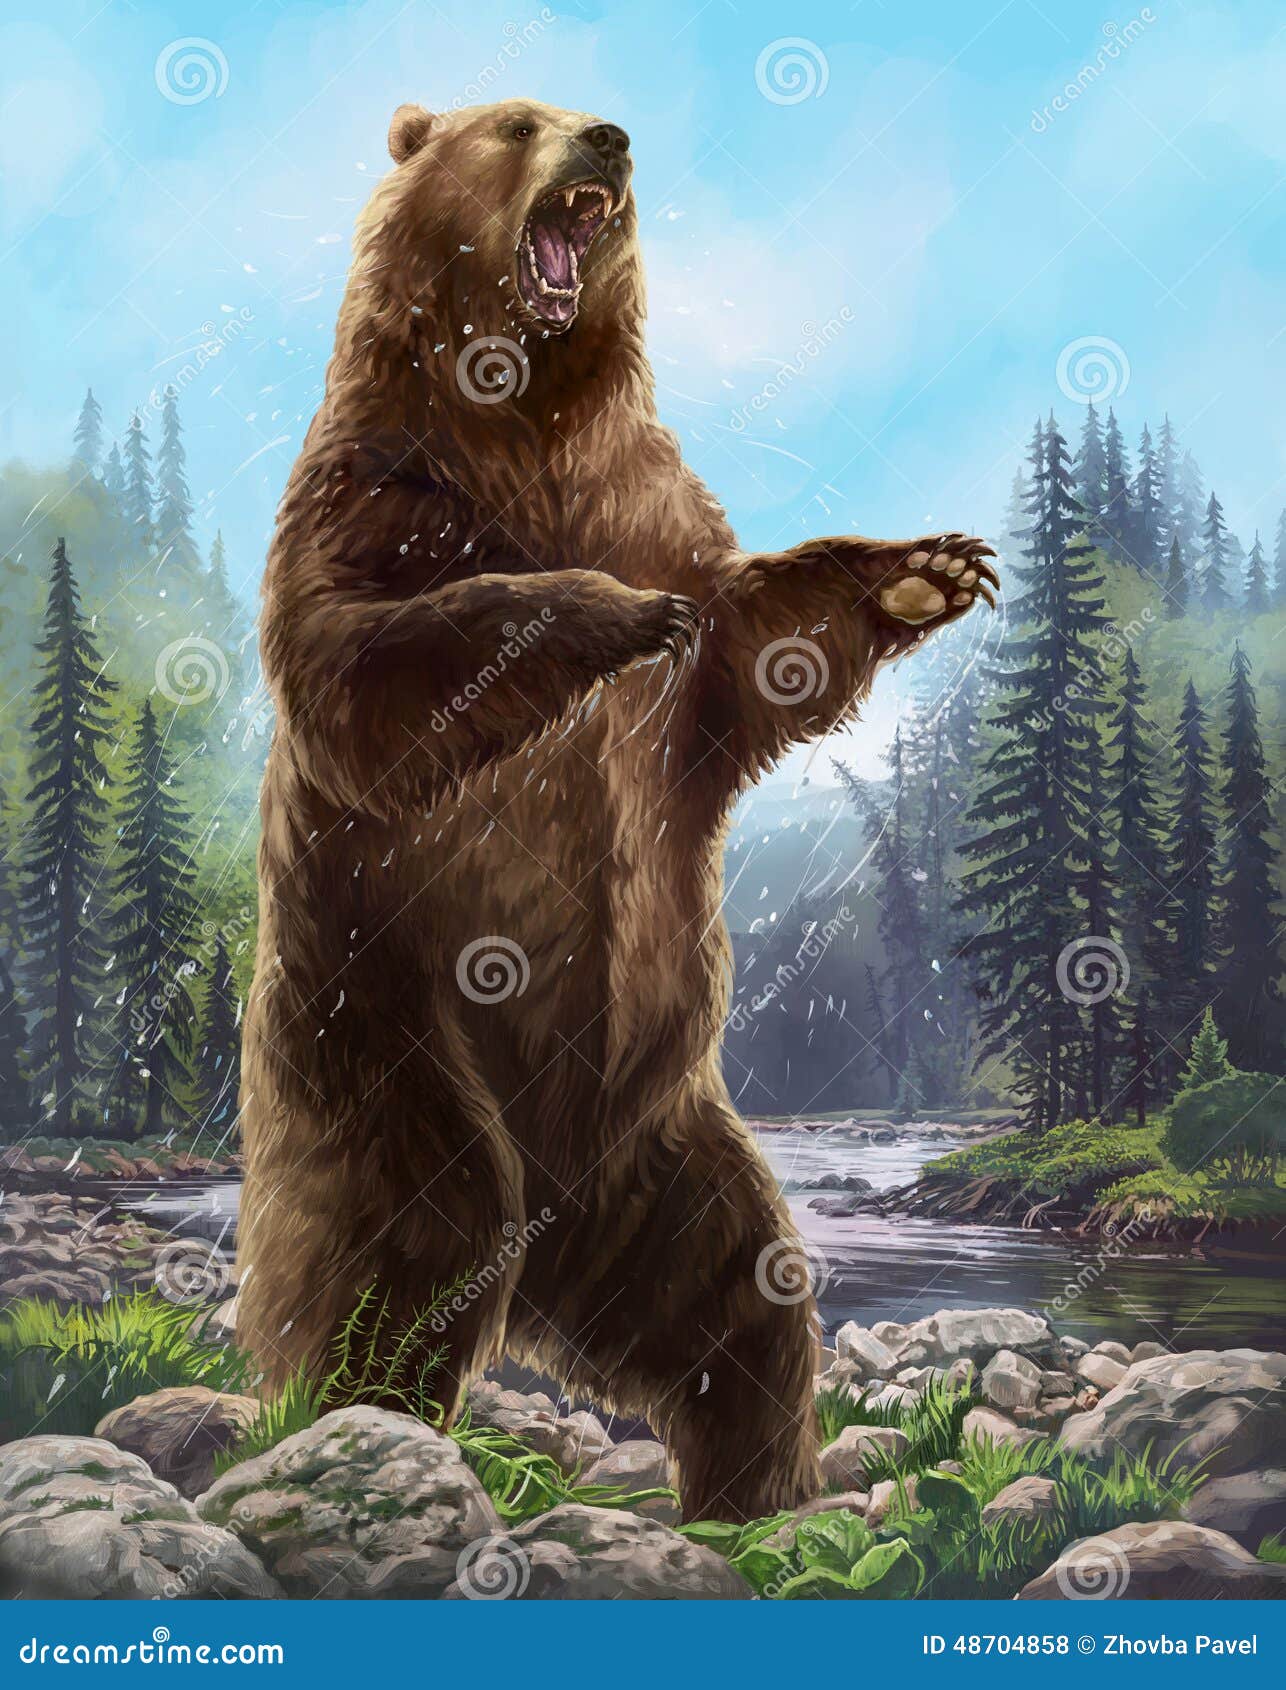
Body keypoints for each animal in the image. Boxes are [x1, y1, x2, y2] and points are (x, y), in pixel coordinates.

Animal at [236, 96, 999, 1524]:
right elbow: (364, 661)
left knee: (748, 1305)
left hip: (668, 1152)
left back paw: (757, 1502)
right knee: (406, 1243)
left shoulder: (652, 507)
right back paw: (363, 1420)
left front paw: (927, 567)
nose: (607, 137)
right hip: (382, 1035)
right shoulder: (373, 492)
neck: (526, 415)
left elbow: (756, 636)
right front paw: (604, 613)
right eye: (512, 121)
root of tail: (553, 1247)